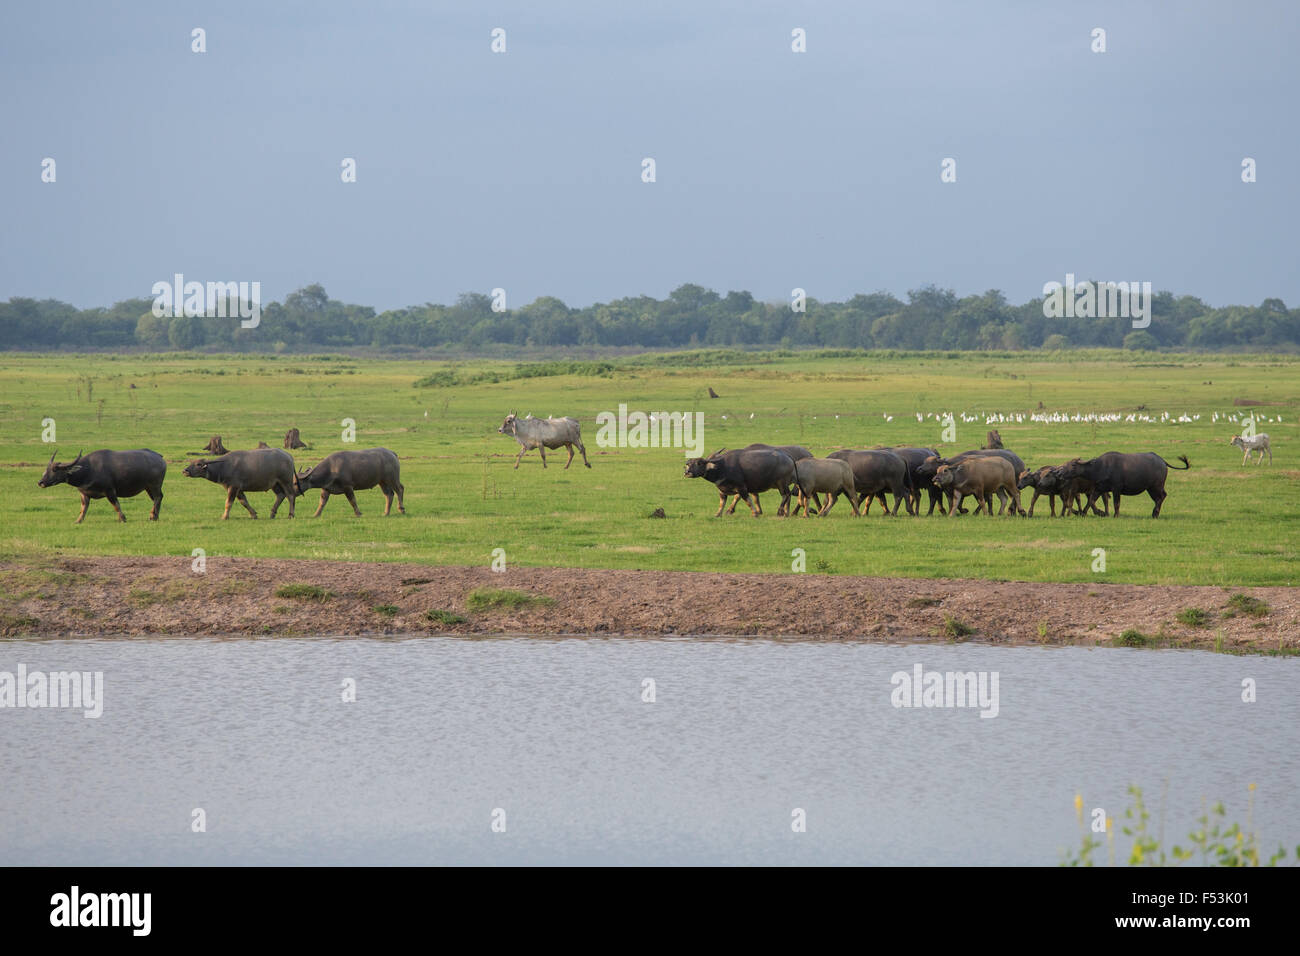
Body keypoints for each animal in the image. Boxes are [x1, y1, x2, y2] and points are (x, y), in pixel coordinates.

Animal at [38, 448, 166, 523]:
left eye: (55, 469)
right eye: (47, 469)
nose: (41, 482)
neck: (89, 470)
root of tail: (159, 457)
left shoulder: (110, 491)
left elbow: (116, 505)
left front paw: (122, 519)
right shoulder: (84, 494)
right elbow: (83, 509)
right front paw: (78, 521)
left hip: (154, 485)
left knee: (158, 497)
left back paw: (152, 516)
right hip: (148, 488)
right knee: (158, 498)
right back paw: (156, 516)